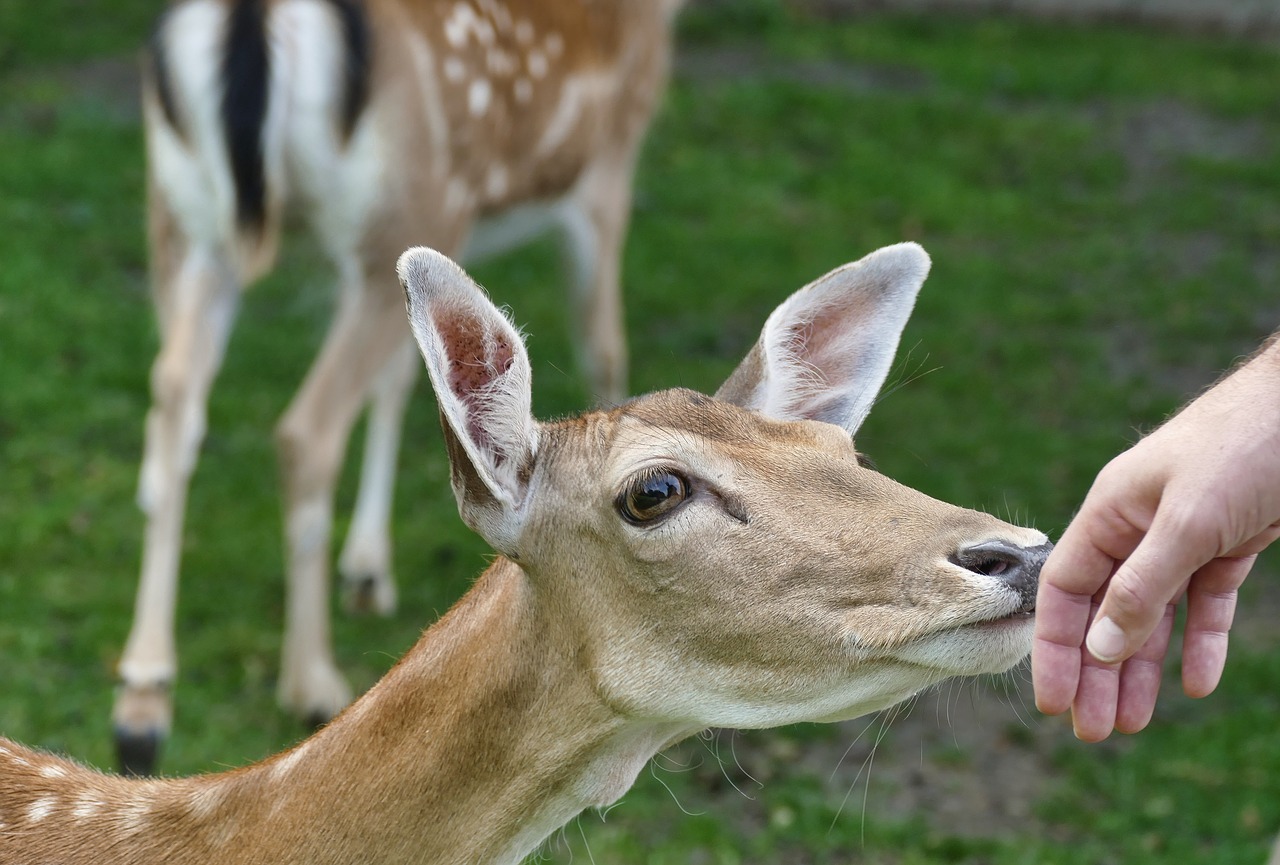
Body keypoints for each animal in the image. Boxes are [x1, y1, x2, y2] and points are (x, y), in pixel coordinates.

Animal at [119, 0, 683, 775]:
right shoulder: (606, 166)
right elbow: (604, 351)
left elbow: (410, 380)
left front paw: (367, 570)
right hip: (401, 206)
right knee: (305, 427)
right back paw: (312, 683)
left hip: (186, 222)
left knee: (173, 401)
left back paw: (142, 701)